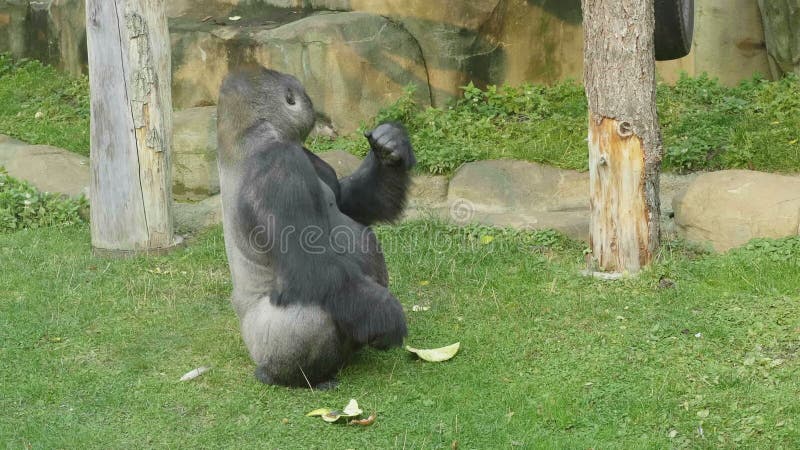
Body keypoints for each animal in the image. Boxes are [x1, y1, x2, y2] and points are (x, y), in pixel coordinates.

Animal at [216, 65, 415, 387]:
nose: (318, 109)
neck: (249, 136)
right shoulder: (280, 167)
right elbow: (309, 267)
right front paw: (386, 315)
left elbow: (351, 202)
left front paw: (391, 148)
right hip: (262, 345)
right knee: (313, 316)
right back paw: (290, 377)